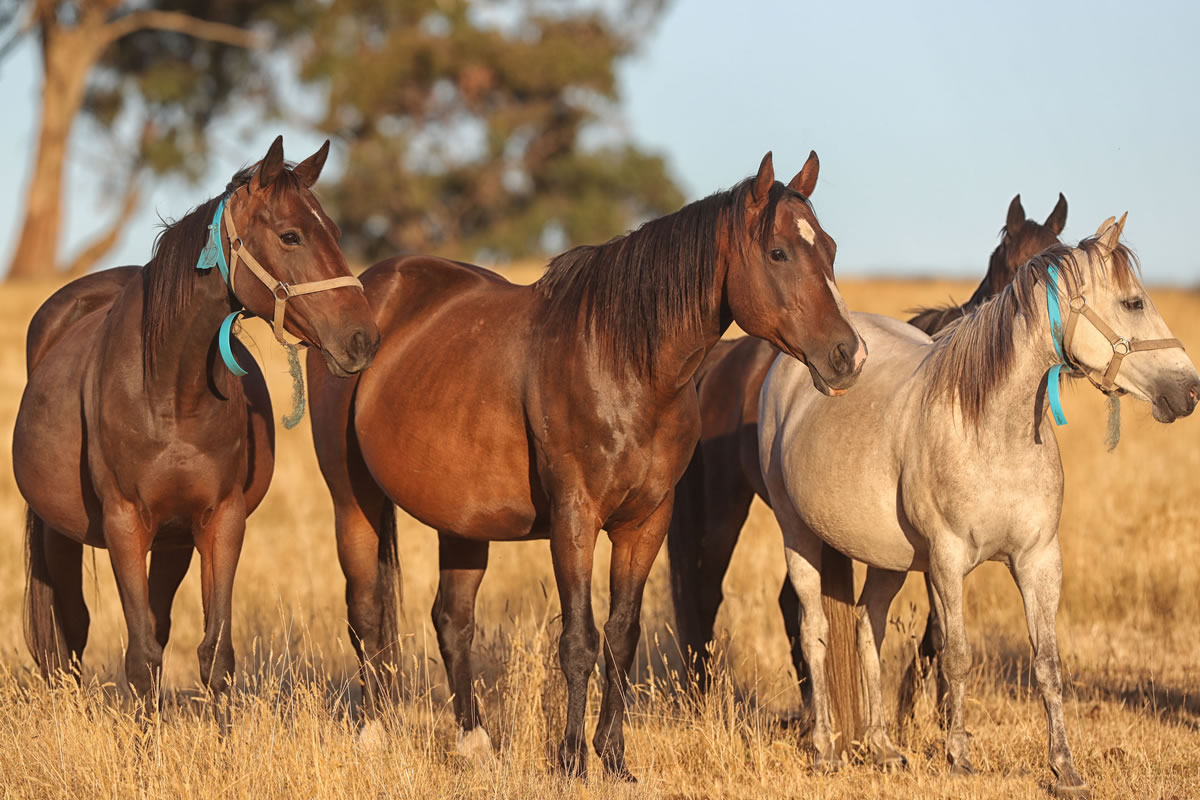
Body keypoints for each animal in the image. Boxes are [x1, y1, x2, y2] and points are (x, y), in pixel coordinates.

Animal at [11, 136, 380, 702]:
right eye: (291, 235)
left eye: (336, 233)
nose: (363, 339)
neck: (169, 395)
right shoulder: (124, 523)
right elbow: (139, 658)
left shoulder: (219, 521)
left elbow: (214, 652)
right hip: (63, 533)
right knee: (69, 632)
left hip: (173, 541)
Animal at [307, 151, 865, 780]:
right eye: (778, 253)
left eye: (831, 248)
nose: (848, 355)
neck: (621, 363)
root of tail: (366, 298)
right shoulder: (575, 520)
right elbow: (578, 639)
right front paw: (572, 758)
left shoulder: (644, 523)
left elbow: (621, 636)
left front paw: (614, 756)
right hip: (353, 500)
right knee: (366, 610)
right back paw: (371, 734)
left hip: (463, 523)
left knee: (451, 621)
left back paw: (474, 744)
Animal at [665, 192, 1069, 713]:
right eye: (1013, 265)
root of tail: (720, 359)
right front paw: (917, 707)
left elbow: (935, 628)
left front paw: (927, 708)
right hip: (725, 511)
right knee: (707, 594)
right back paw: (705, 696)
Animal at [757, 215, 1198, 797]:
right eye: (1132, 302)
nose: (1189, 390)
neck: (992, 432)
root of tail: (789, 372)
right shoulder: (947, 562)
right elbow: (957, 655)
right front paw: (960, 758)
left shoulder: (1039, 560)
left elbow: (1048, 663)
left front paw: (1065, 769)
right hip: (797, 535)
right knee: (815, 633)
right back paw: (825, 750)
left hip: (887, 558)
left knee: (867, 628)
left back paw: (883, 748)